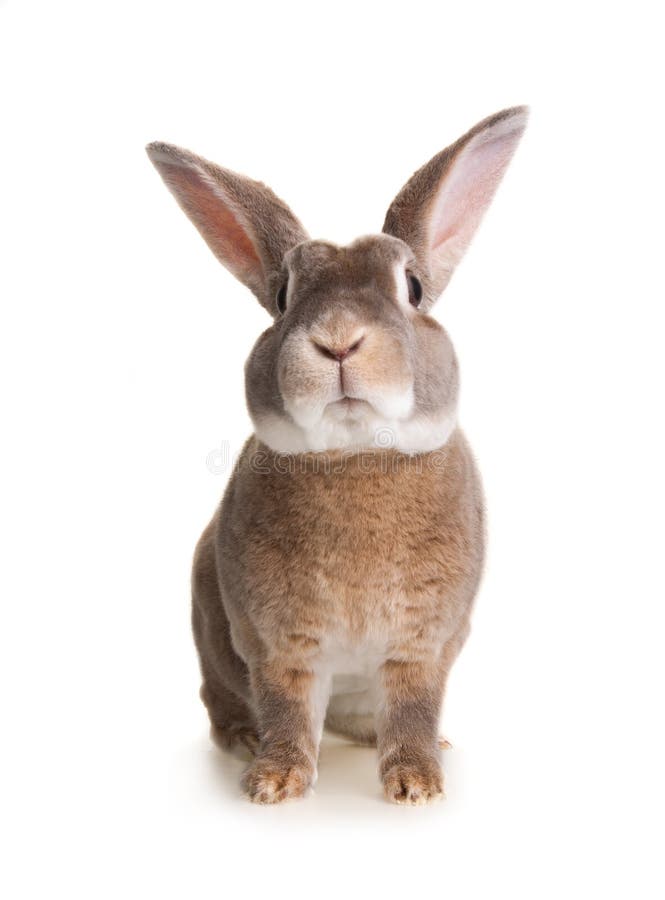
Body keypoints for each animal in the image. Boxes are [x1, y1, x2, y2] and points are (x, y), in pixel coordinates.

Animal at [146, 106, 528, 804]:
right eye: (282, 297)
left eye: (412, 287)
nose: (338, 340)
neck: (355, 454)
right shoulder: (275, 645)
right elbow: (287, 706)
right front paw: (274, 783)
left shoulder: (423, 645)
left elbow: (414, 706)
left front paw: (416, 782)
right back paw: (244, 739)